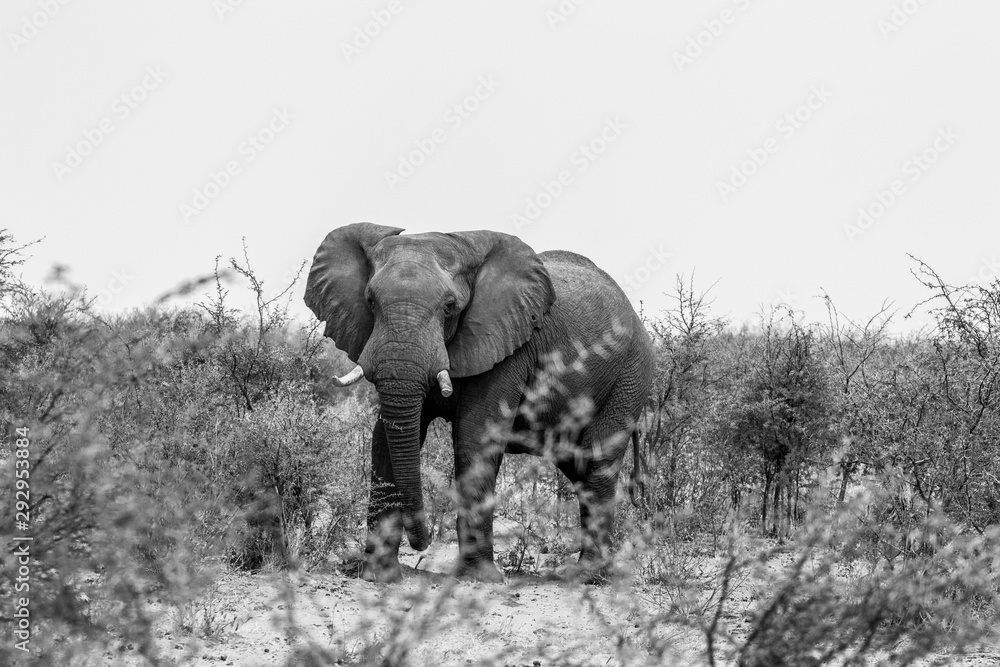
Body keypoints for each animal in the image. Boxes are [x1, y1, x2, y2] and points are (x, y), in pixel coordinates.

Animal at [304, 223, 654, 583]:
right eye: (370, 302)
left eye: (450, 306)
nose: (423, 544)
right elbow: (386, 437)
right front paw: (378, 576)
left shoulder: (507, 346)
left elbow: (474, 439)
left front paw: (480, 578)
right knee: (578, 468)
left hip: (630, 377)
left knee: (596, 463)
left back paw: (587, 576)